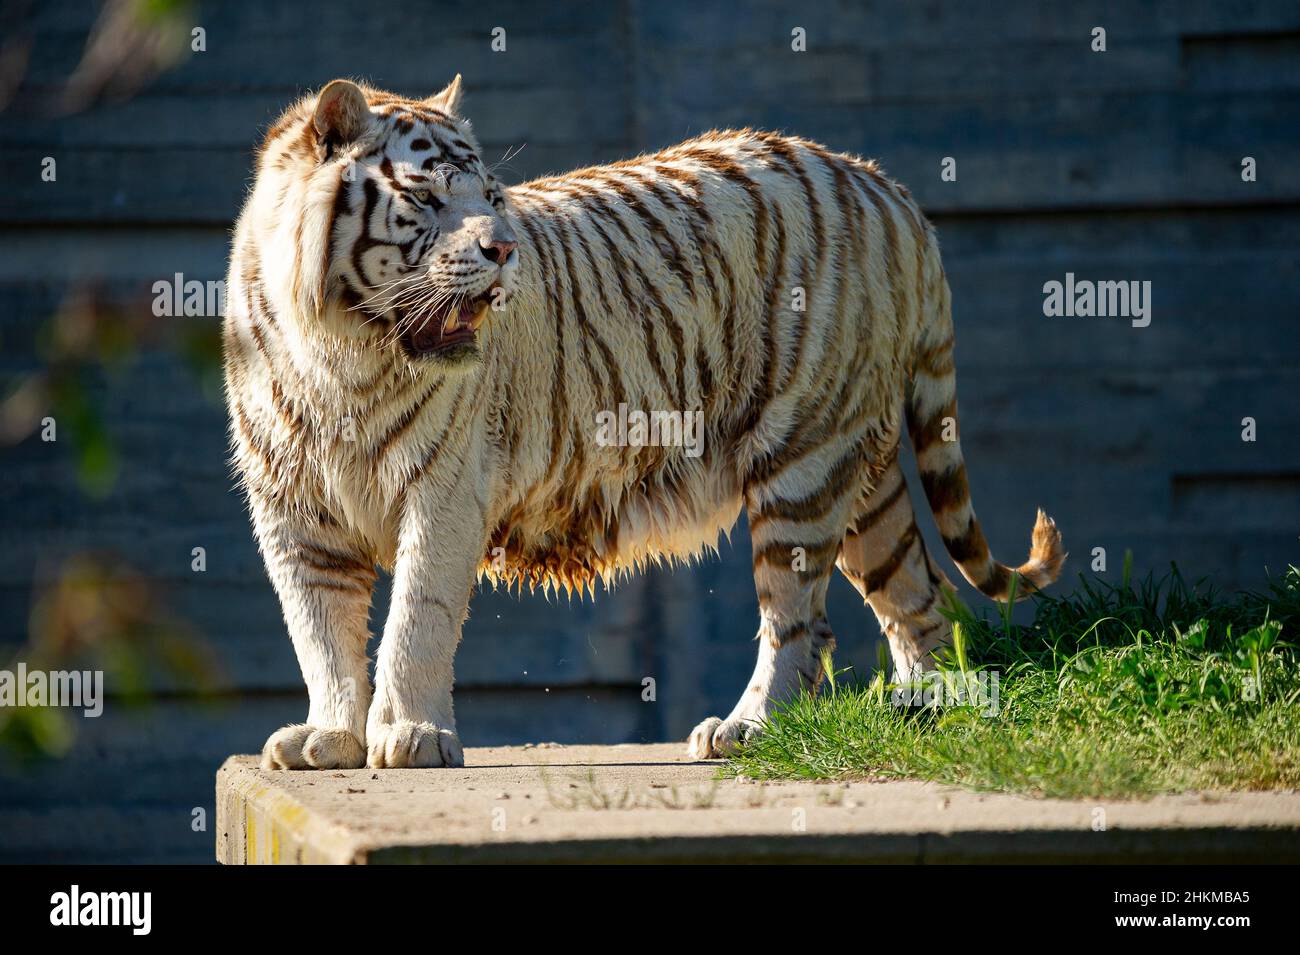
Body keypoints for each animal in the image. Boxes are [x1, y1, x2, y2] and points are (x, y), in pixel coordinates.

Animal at [222, 76, 1065, 770]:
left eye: (490, 196)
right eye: (427, 200)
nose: (503, 249)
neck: (341, 354)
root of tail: (881, 185)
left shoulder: (445, 492)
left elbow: (414, 621)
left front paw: (411, 735)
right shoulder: (291, 511)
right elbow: (319, 631)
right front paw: (329, 736)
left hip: (801, 458)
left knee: (799, 619)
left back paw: (746, 728)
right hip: (863, 470)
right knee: (919, 594)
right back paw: (935, 711)